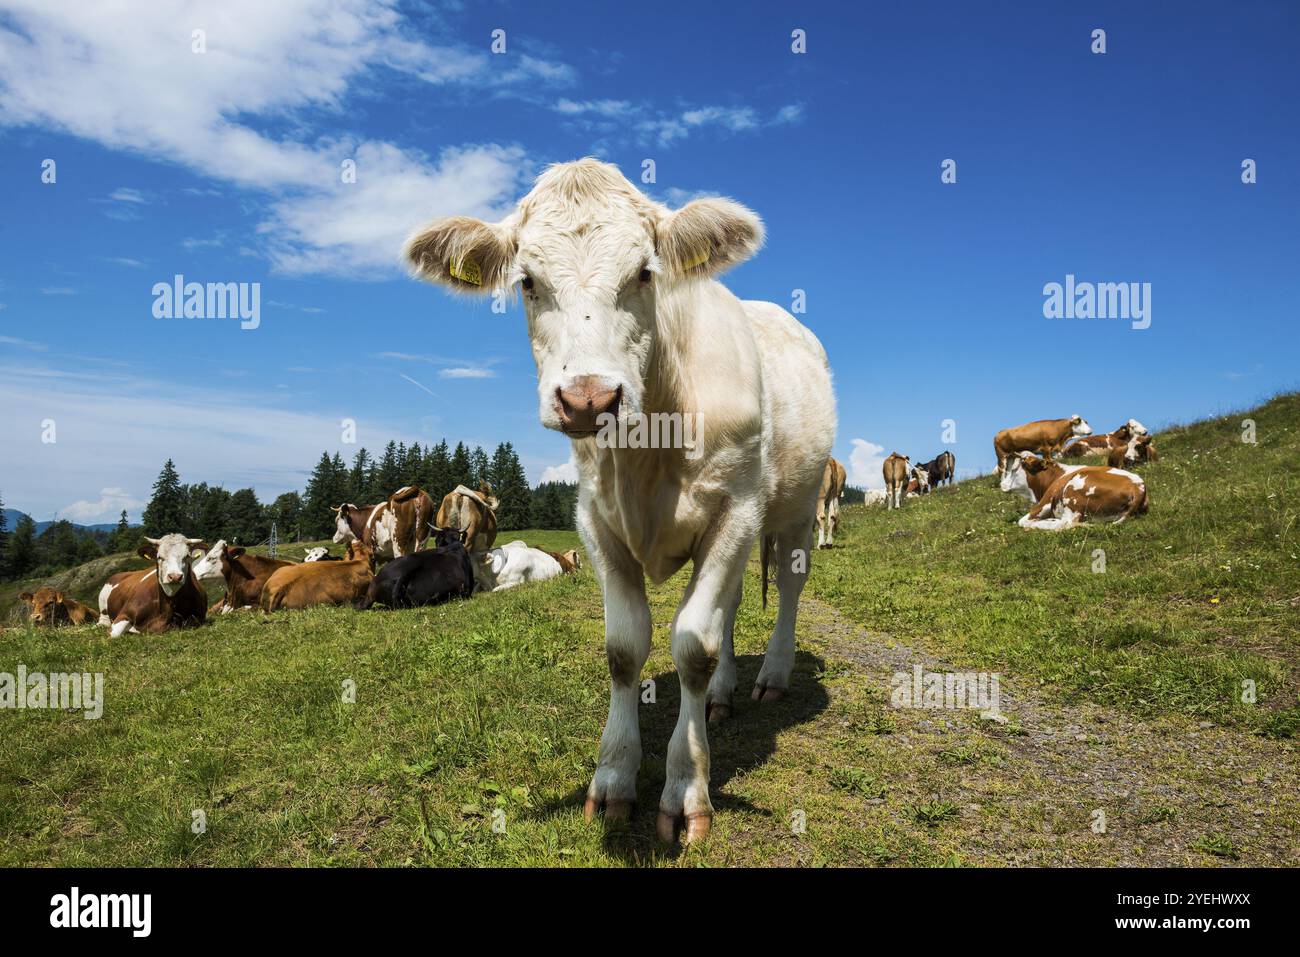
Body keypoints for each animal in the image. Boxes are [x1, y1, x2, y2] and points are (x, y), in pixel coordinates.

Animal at [405, 157, 836, 844]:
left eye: (644, 273)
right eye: (527, 281)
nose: (588, 398)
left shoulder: (735, 510)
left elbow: (692, 646)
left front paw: (685, 787)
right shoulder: (596, 523)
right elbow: (625, 649)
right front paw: (613, 779)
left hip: (795, 504)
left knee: (789, 587)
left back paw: (770, 675)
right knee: (733, 604)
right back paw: (722, 695)